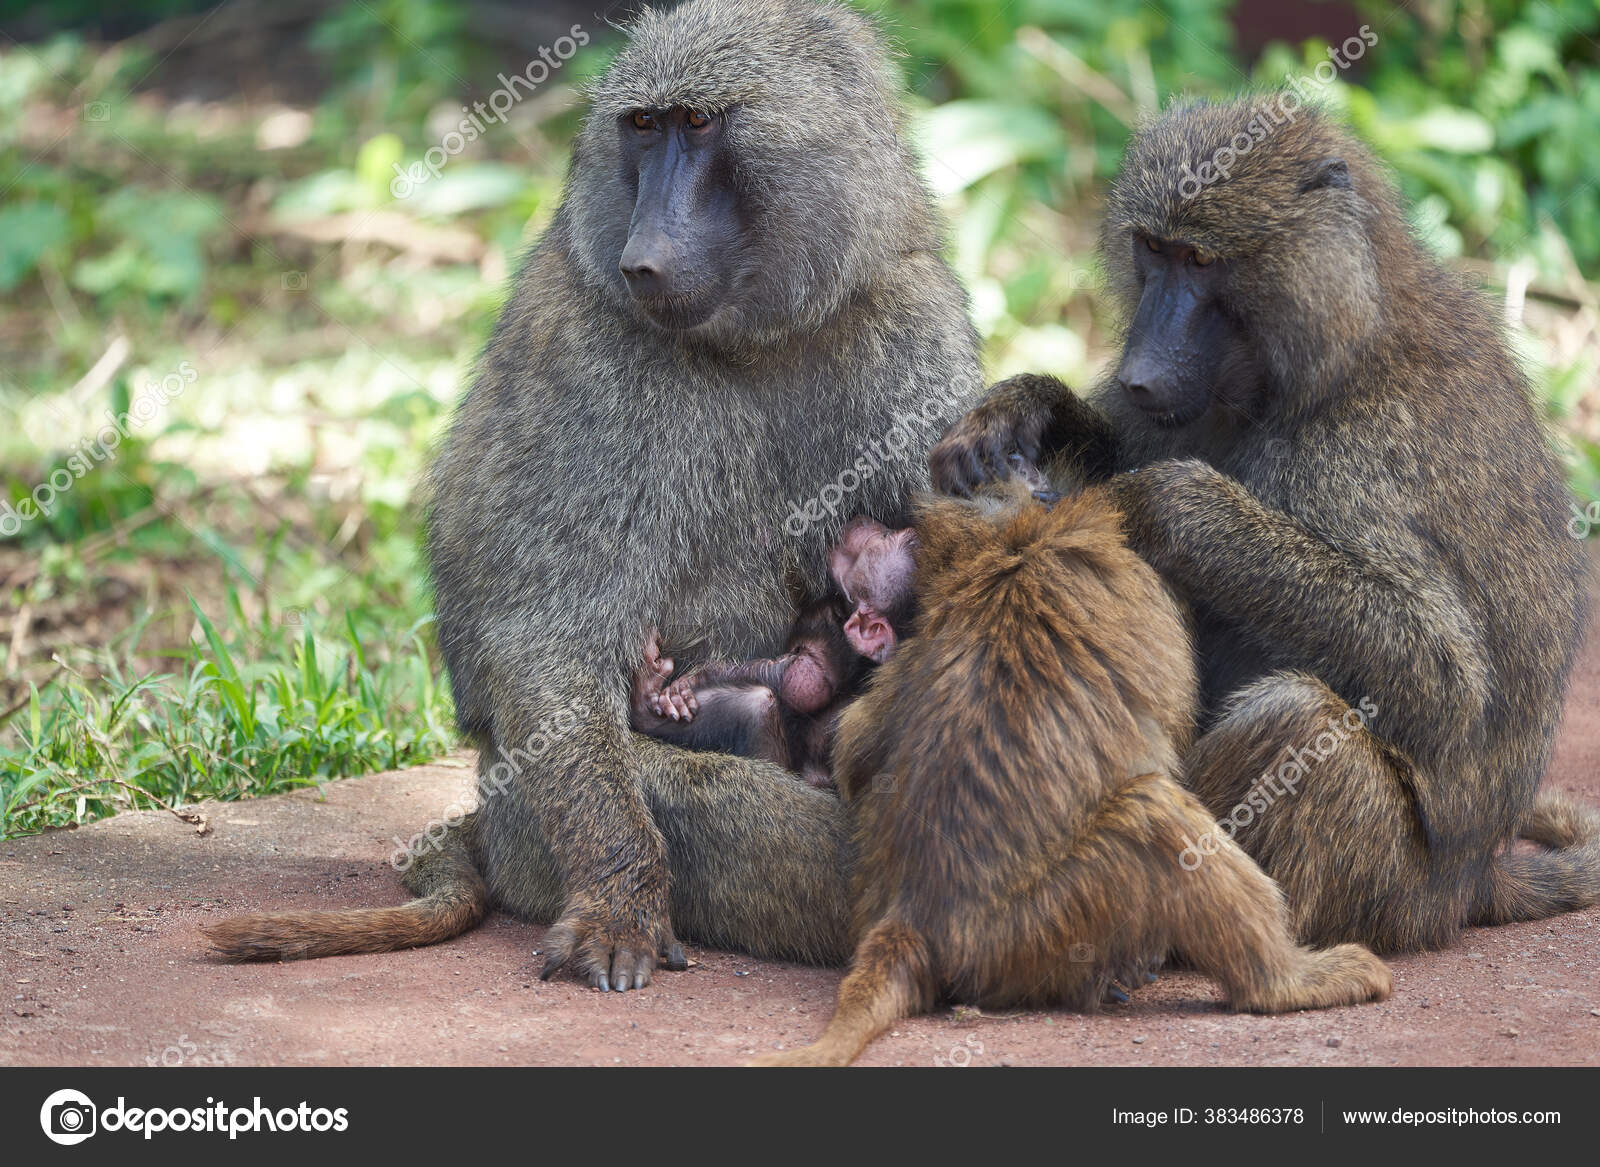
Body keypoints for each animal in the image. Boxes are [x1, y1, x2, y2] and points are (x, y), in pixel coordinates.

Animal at [630, 517, 920, 787]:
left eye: (880, 539)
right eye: (887, 534)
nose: (864, 522)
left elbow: (802, 679)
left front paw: (689, 683)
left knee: (758, 702)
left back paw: (645, 705)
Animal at [753, 483, 1393, 1067]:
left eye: (888, 538)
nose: (855, 527)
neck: (1008, 548)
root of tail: (913, 916)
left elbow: (857, 749)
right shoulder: (1129, 580)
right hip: (1042, 931)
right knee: (1155, 816)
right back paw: (1284, 982)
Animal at [928, 95, 1600, 955]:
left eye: (1199, 259)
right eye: (1153, 250)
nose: (1139, 372)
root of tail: (1470, 883)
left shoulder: (1355, 456)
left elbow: (1443, 681)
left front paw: (1150, 505)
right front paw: (1026, 409)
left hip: (1385, 883)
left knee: (1299, 719)